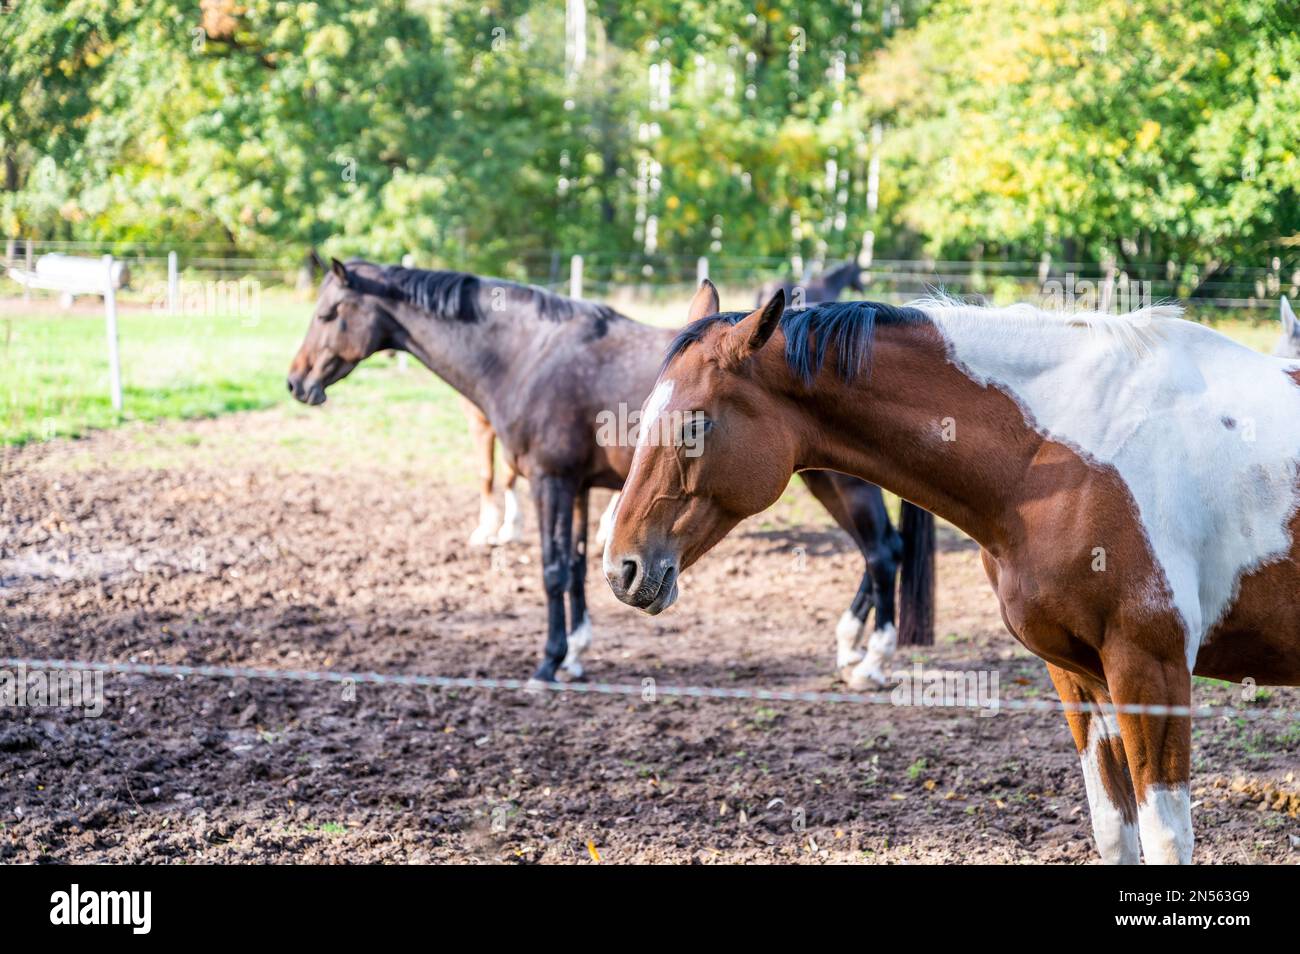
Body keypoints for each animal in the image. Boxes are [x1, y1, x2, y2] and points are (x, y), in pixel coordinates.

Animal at [287, 259, 934, 685]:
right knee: (878, 551)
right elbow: (575, 566)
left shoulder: (550, 481)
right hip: (824, 477)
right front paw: (575, 652)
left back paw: (873, 662)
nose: (296, 382)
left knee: (883, 552)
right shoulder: (573, 488)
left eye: (329, 313)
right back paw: (850, 648)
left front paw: (549, 661)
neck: (530, 353)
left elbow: (551, 569)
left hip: (847, 480)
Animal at [604, 280, 1300, 864]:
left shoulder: (1149, 668)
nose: (621, 566)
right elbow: (1114, 830)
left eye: (695, 423)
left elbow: (1165, 839)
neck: (1064, 456)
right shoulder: (1081, 675)